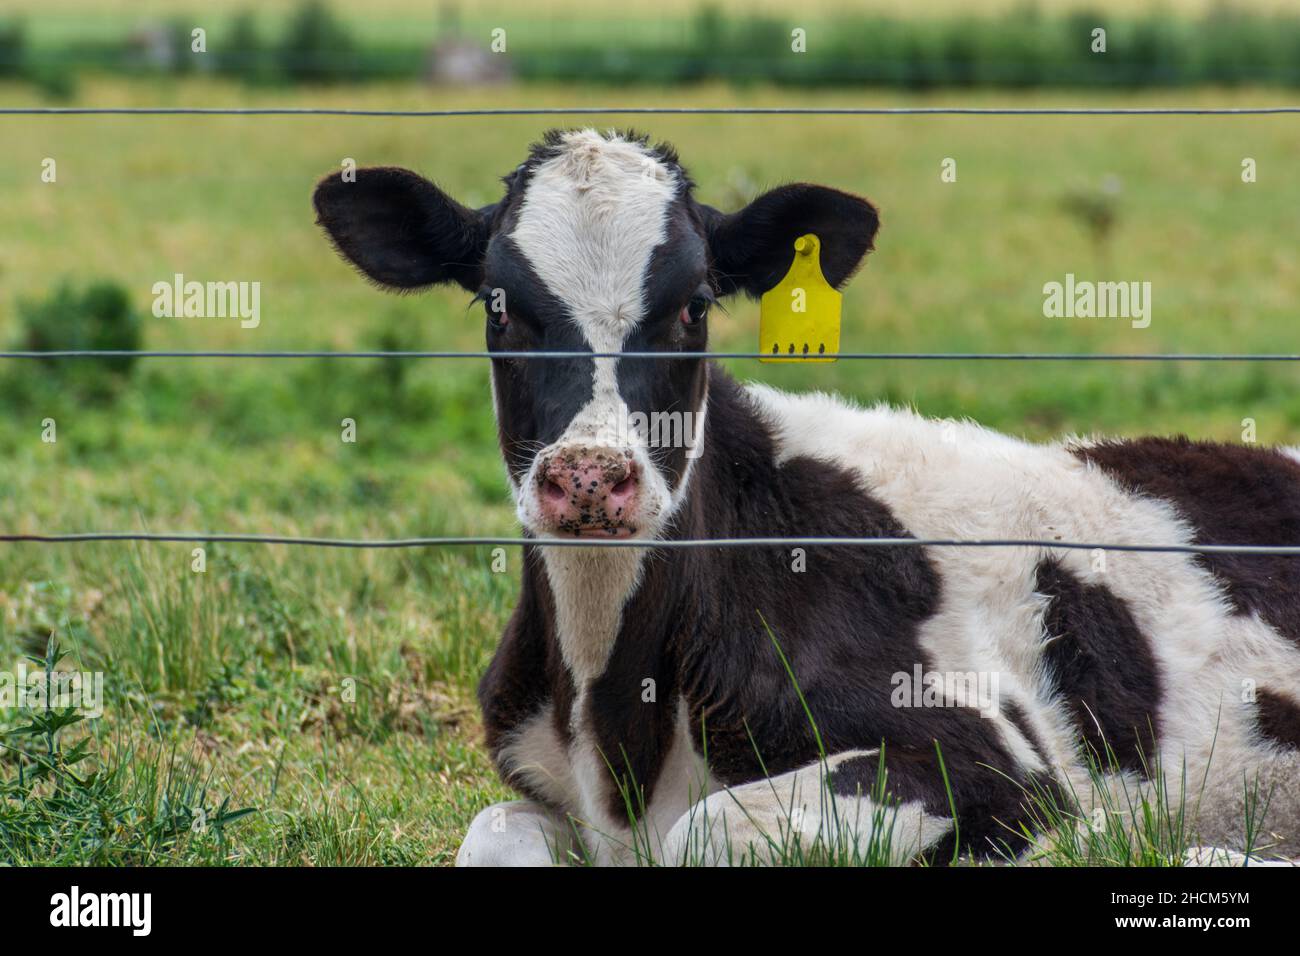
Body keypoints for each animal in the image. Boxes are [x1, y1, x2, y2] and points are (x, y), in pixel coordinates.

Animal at [313, 128, 1300, 866]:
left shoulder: (998, 762)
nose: (590, 477)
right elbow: (491, 834)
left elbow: (703, 835)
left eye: (696, 304)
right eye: (498, 303)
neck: (616, 730)